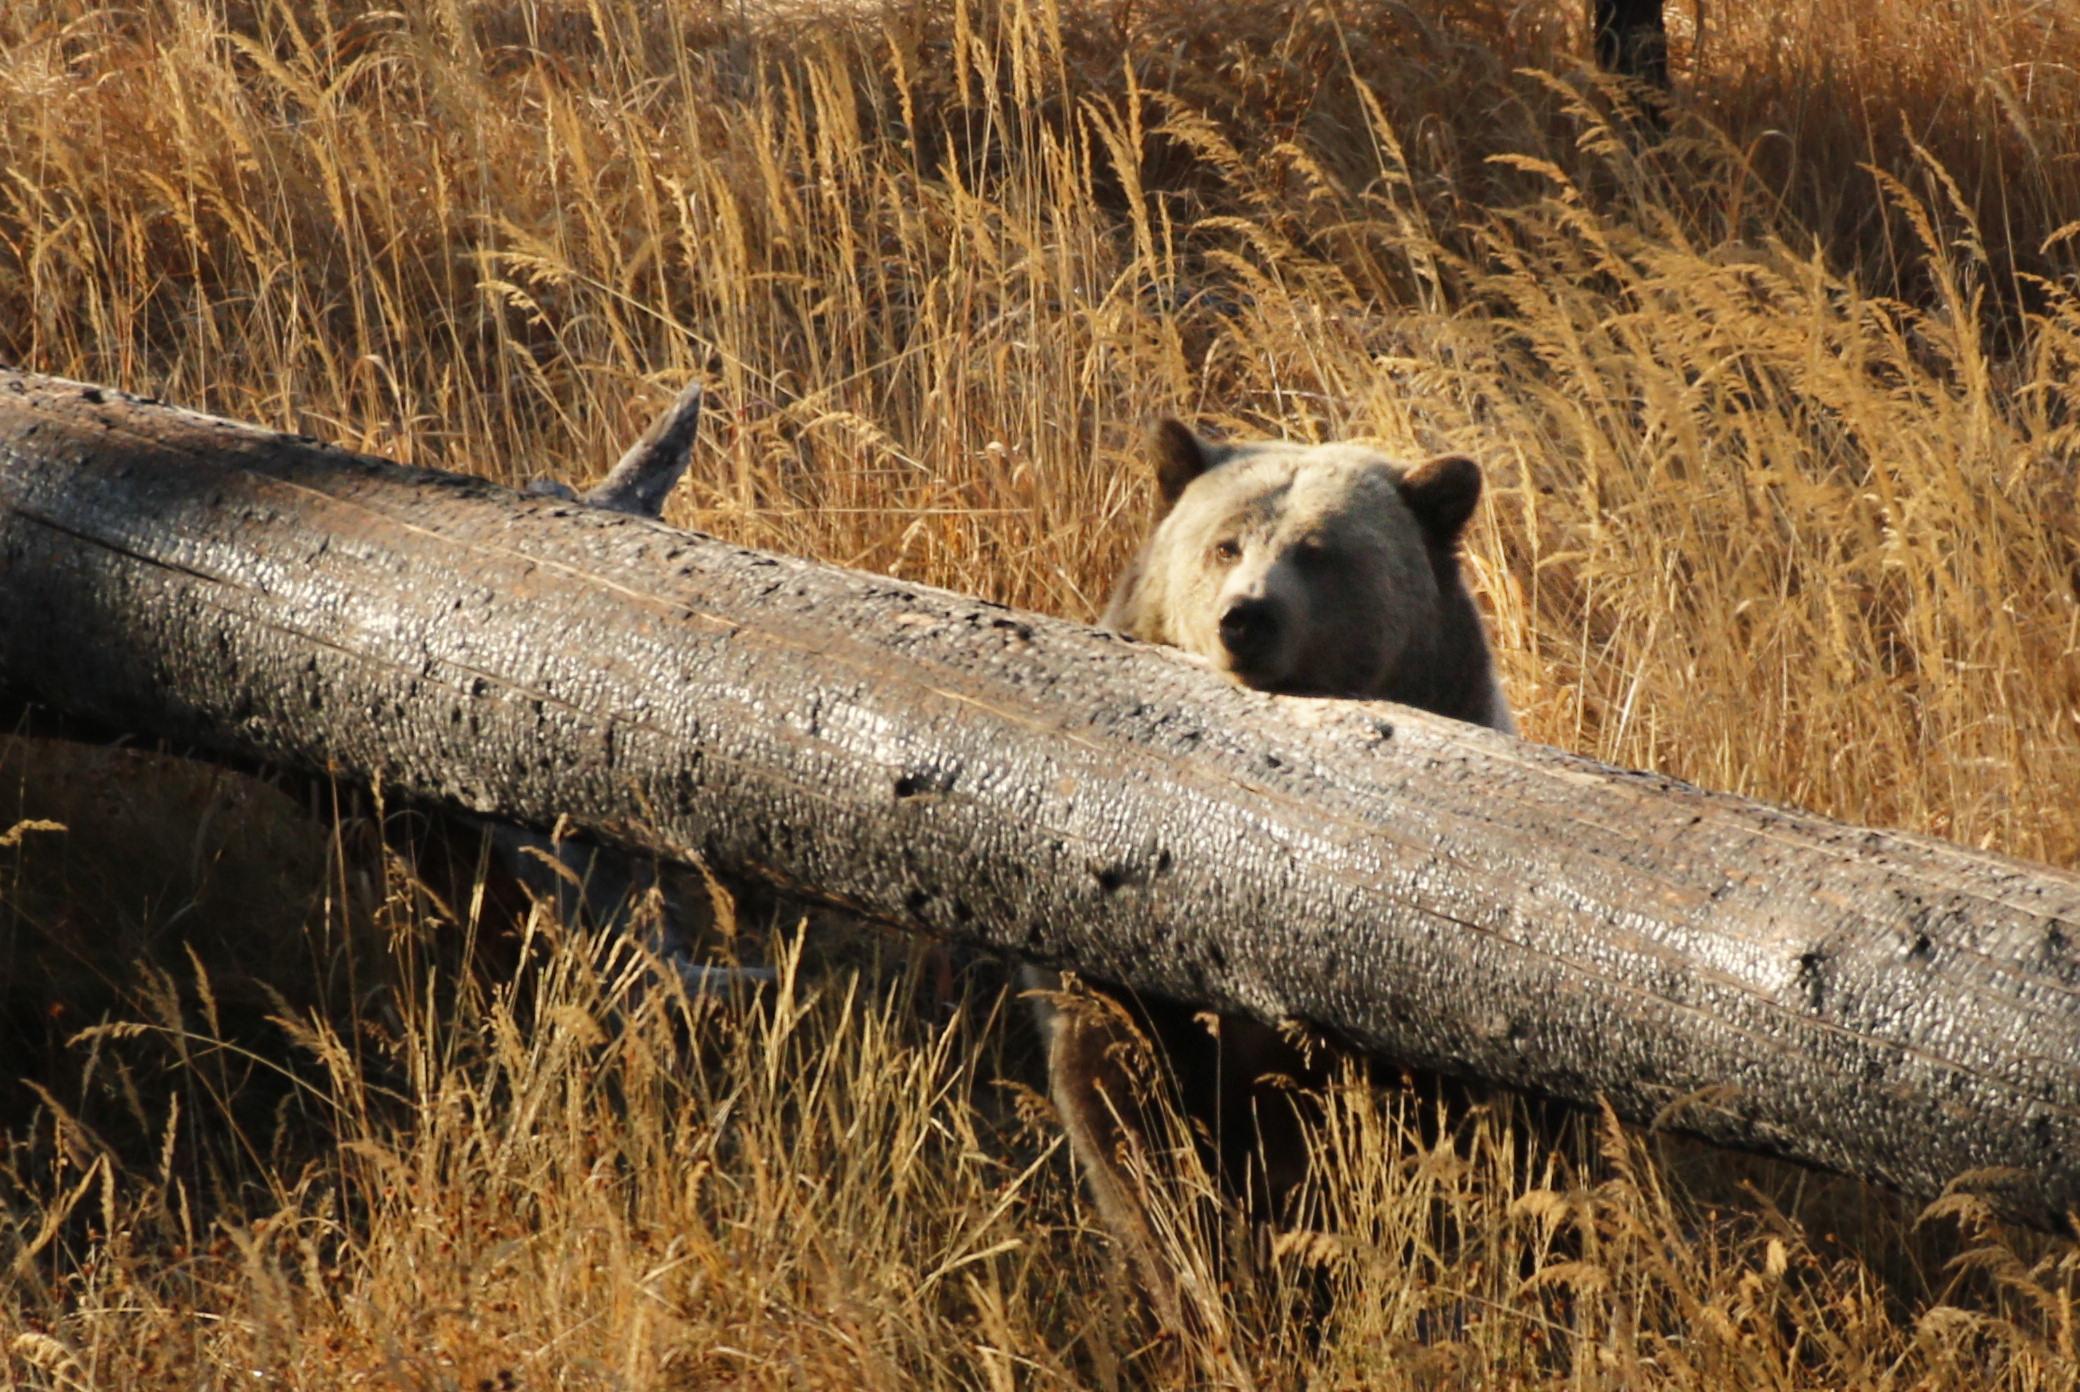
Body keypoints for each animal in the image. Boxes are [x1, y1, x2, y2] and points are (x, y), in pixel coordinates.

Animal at [1027, 418, 1514, 1332]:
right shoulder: (1121, 966)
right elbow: (1126, 1117)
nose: (1244, 617)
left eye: (1319, 552)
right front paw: (1202, 1287)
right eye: (1224, 543)